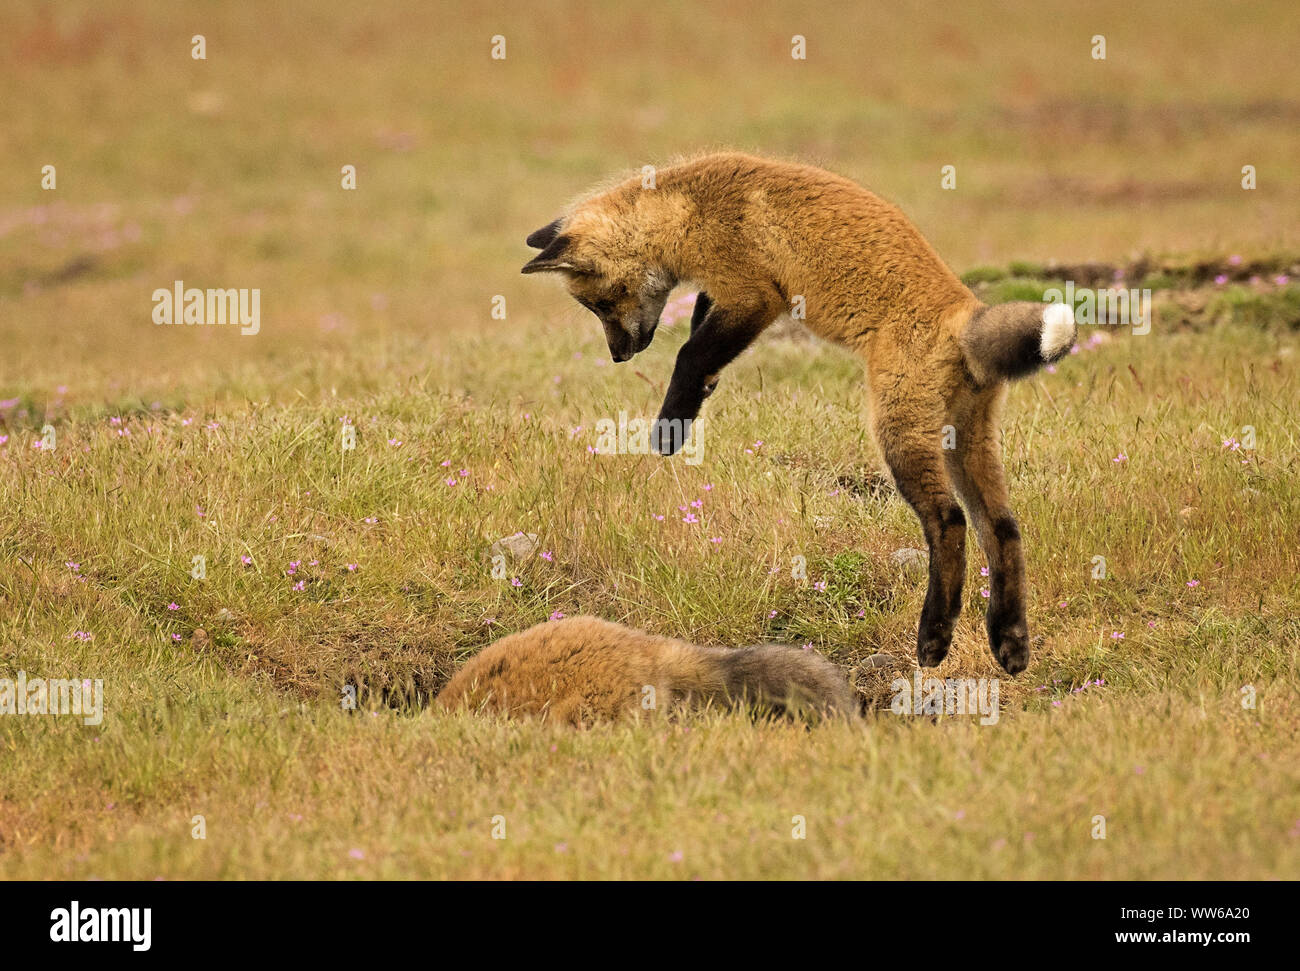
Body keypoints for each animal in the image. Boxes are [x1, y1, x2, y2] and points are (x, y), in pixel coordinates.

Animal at [521, 153, 1077, 675]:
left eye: (601, 303)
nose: (619, 357)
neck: (687, 208)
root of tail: (967, 312)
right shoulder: (725, 293)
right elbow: (700, 328)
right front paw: (700, 394)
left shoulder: (754, 294)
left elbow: (690, 354)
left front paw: (671, 428)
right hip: (966, 444)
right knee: (1002, 528)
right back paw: (1009, 642)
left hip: (900, 434)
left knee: (950, 521)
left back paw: (934, 637)